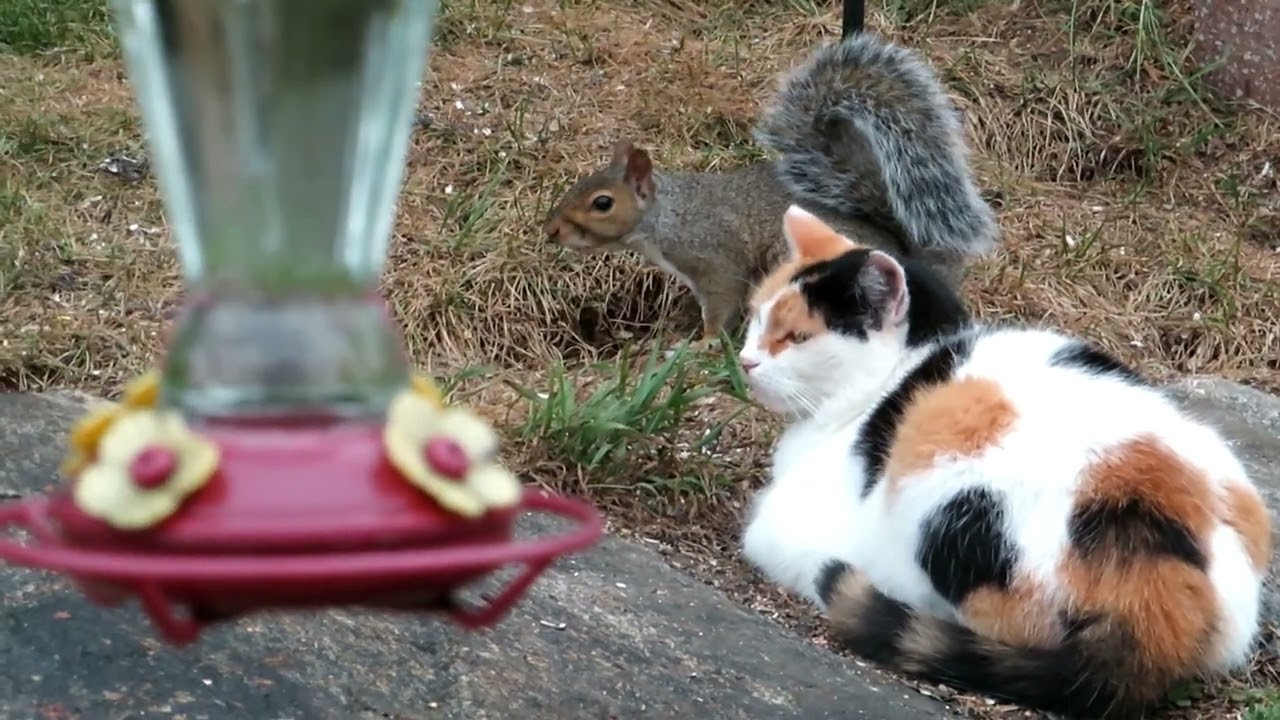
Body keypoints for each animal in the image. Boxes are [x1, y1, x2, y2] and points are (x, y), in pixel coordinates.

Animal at [542, 31, 998, 345]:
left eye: (602, 203)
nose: (551, 231)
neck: (666, 216)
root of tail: (907, 258)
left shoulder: (713, 257)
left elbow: (722, 302)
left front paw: (702, 344)